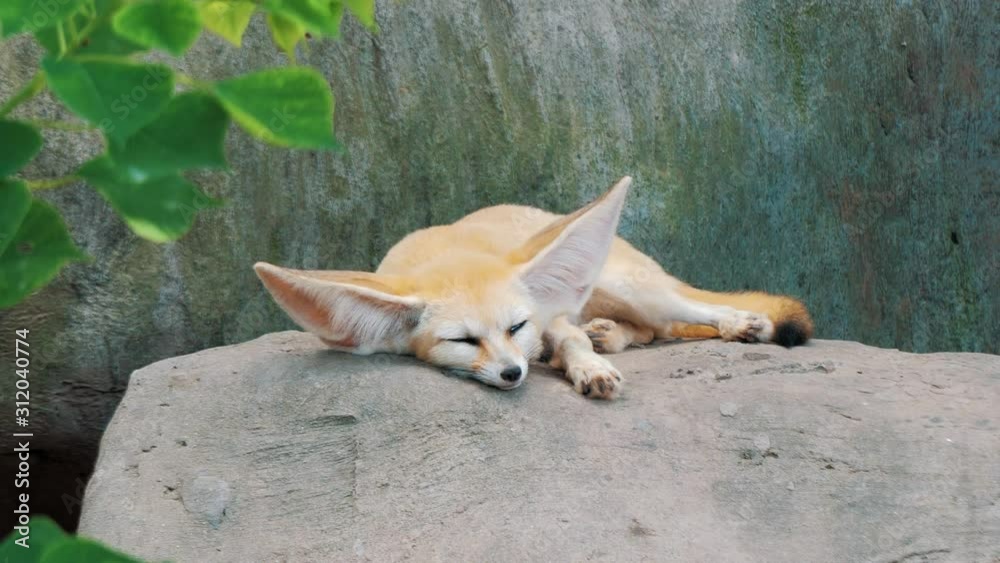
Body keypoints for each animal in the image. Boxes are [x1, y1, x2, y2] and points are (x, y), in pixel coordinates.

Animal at [254, 176, 812, 399]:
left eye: (516, 326)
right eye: (463, 341)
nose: (512, 372)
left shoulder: (550, 317)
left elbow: (570, 340)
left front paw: (588, 368)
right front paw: (588, 358)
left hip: (628, 284)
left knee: (684, 311)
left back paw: (743, 323)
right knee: (655, 330)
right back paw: (613, 334)